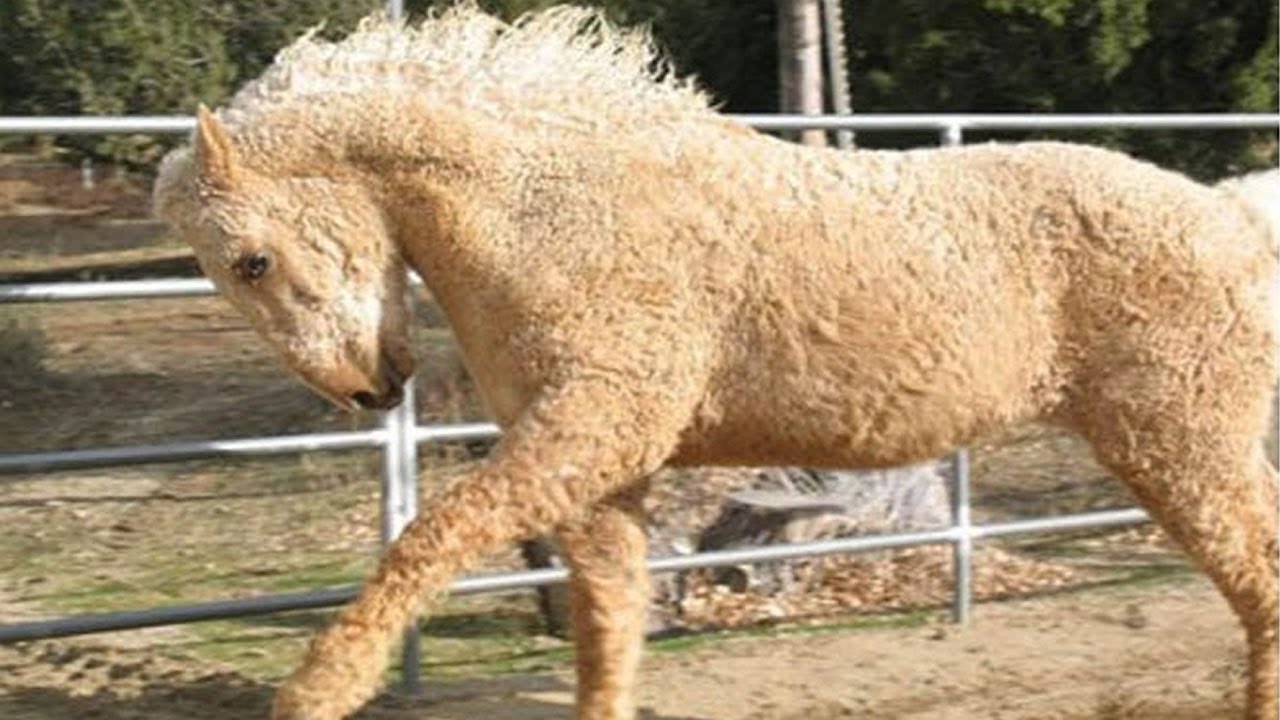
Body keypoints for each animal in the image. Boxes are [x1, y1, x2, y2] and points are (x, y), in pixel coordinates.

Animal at [153, 5, 1279, 719]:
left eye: (249, 259)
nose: (369, 387)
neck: (554, 210)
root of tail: (1231, 214)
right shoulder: (599, 470)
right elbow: (608, 626)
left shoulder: (592, 427)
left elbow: (428, 541)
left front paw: (315, 691)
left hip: (1179, 447)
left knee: (1259, 580)